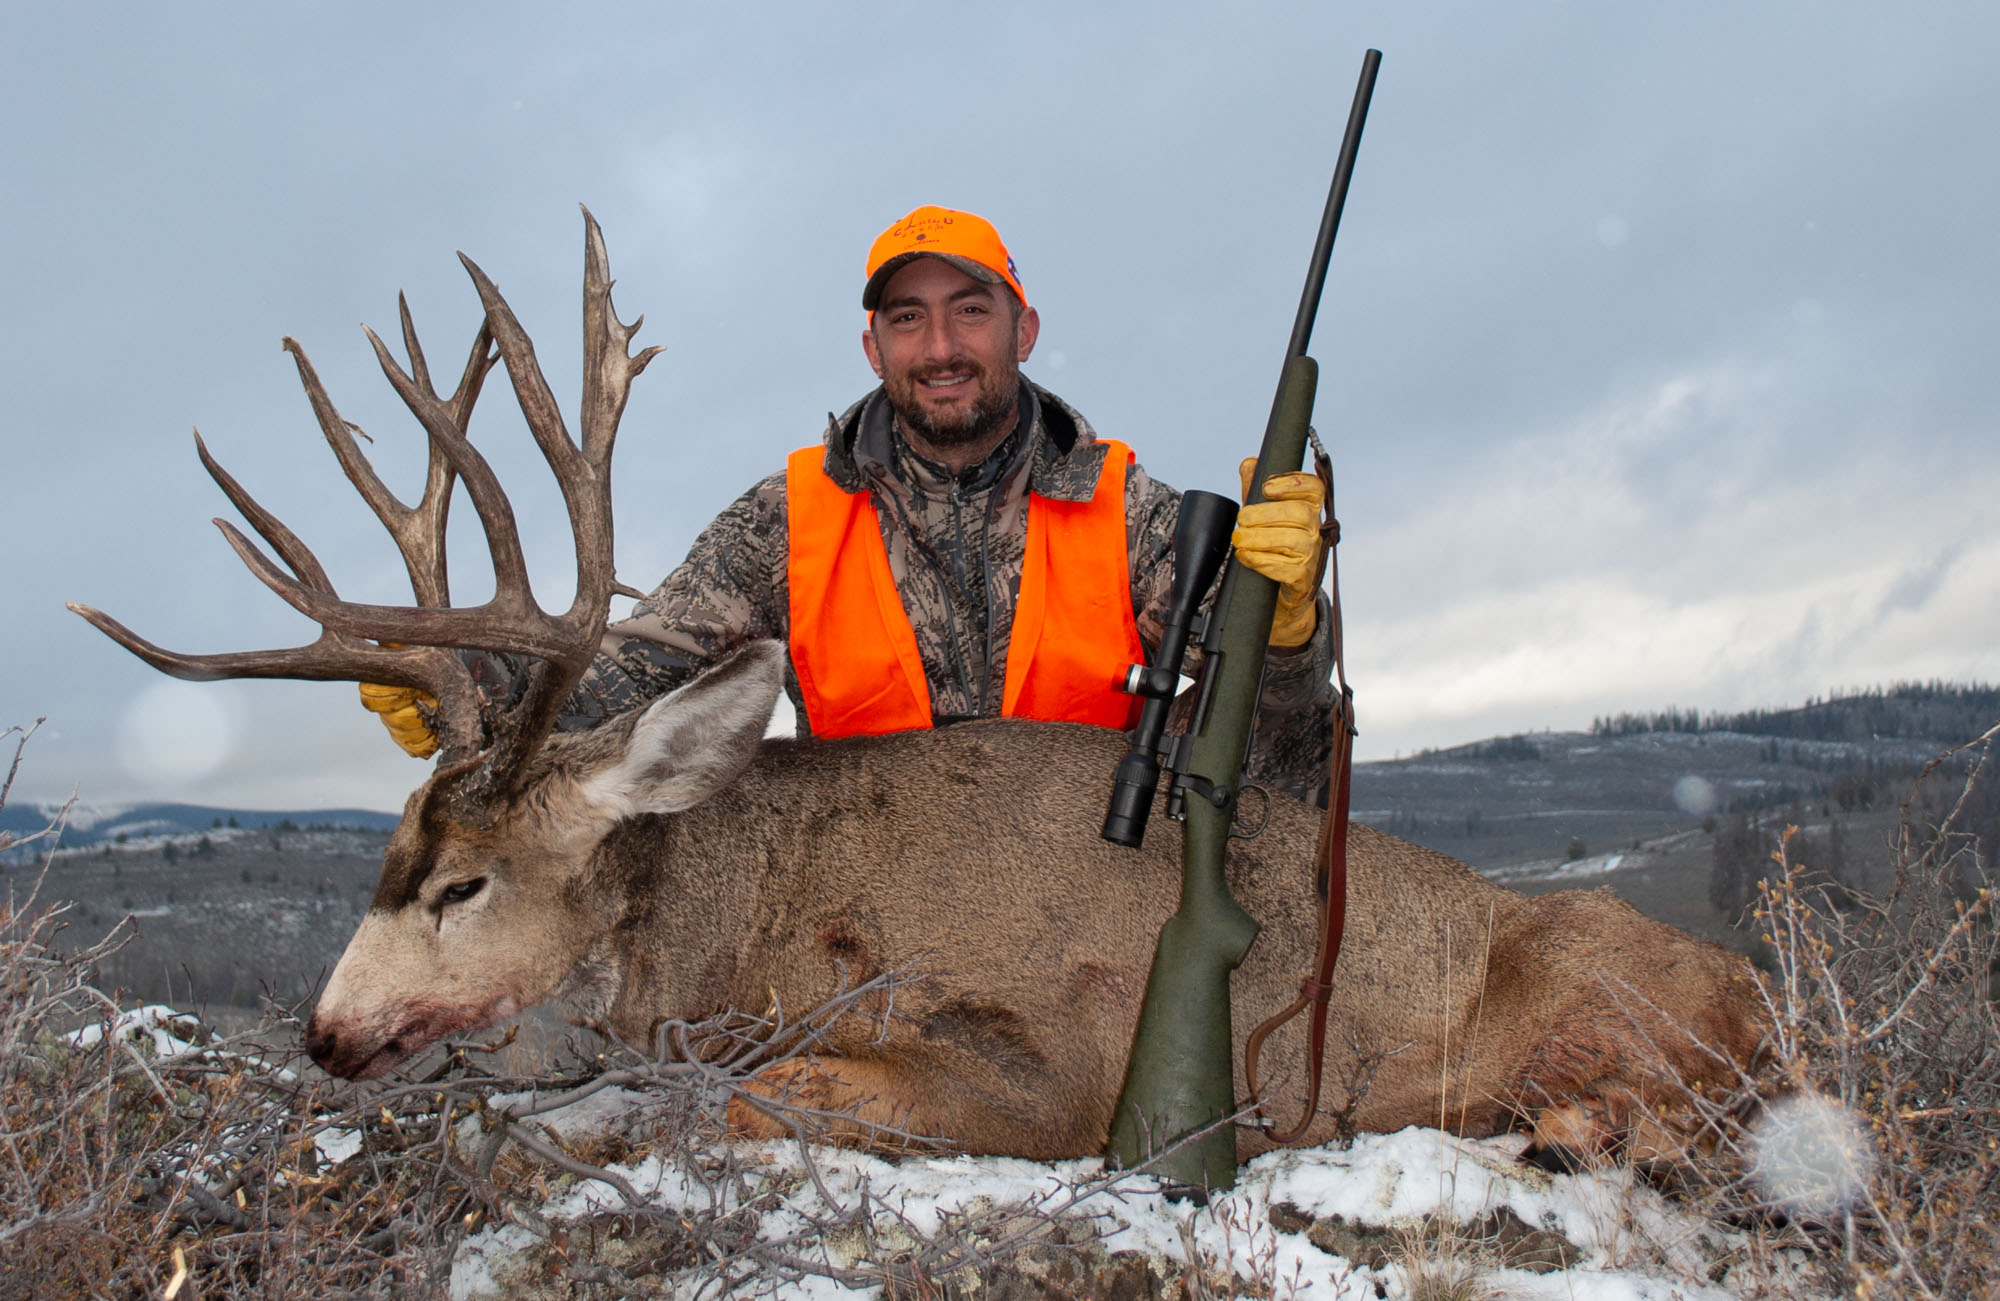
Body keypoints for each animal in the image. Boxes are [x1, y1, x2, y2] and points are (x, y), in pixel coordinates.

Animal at [70, 211, 1767, 1165]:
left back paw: (1572, 1129)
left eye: (461, 885)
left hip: (1615, 1000)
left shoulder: (1051, 1065)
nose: (325, 1036)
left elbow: (756, 1094)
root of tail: (1747, 985)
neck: (749, 920)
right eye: (385, 858)